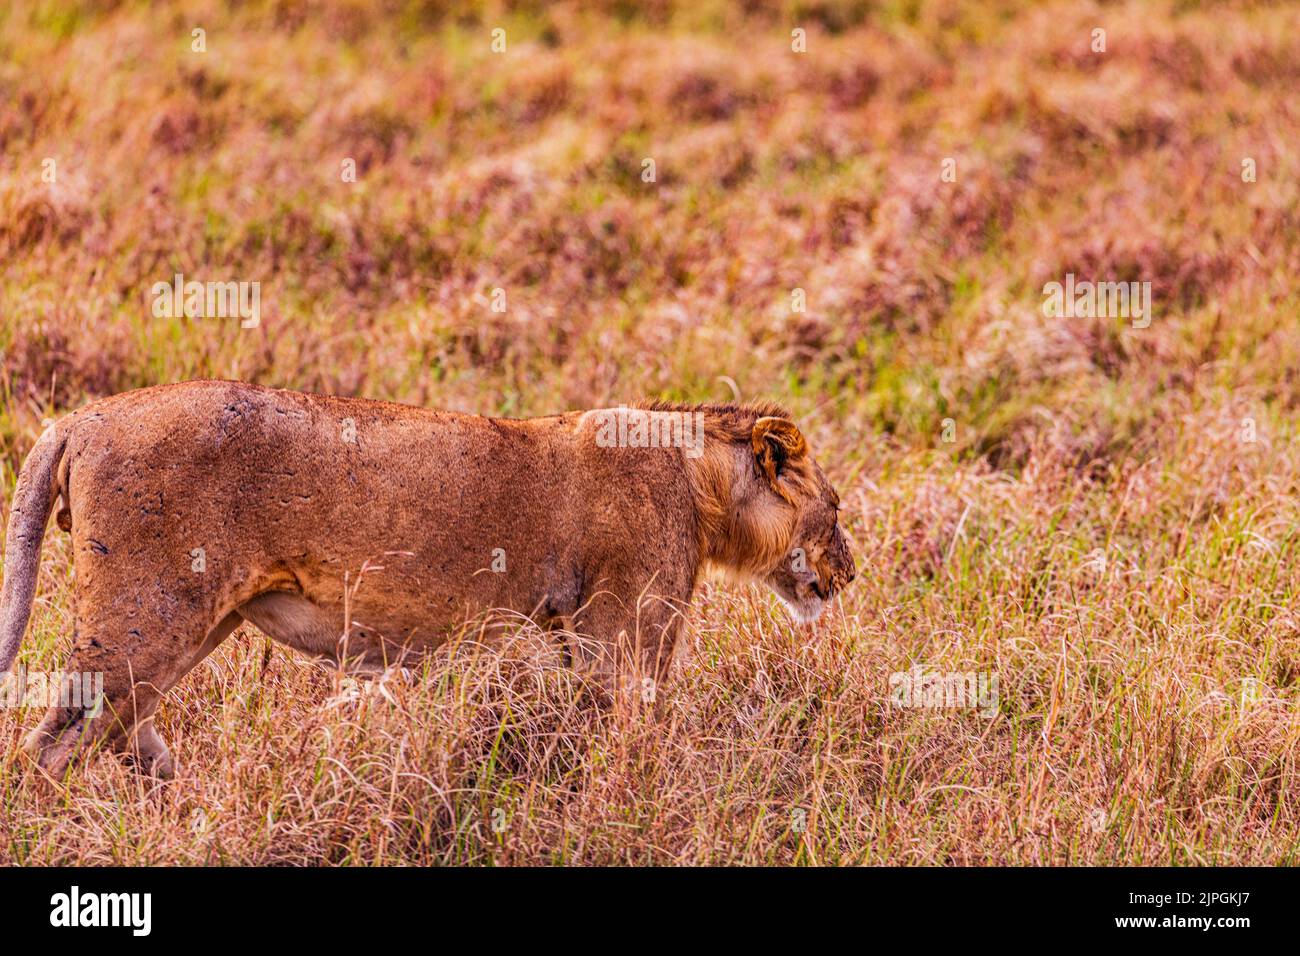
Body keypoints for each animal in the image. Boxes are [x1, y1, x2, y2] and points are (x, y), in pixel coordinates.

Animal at [0, 381, 855, 778]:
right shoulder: (623, 641)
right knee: (53, 746)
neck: (701, 483)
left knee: (123, 734)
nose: (851, 573)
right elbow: (637, 740)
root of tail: (80, 418)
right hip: (145, 616)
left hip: (189, 626)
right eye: (838, 506)